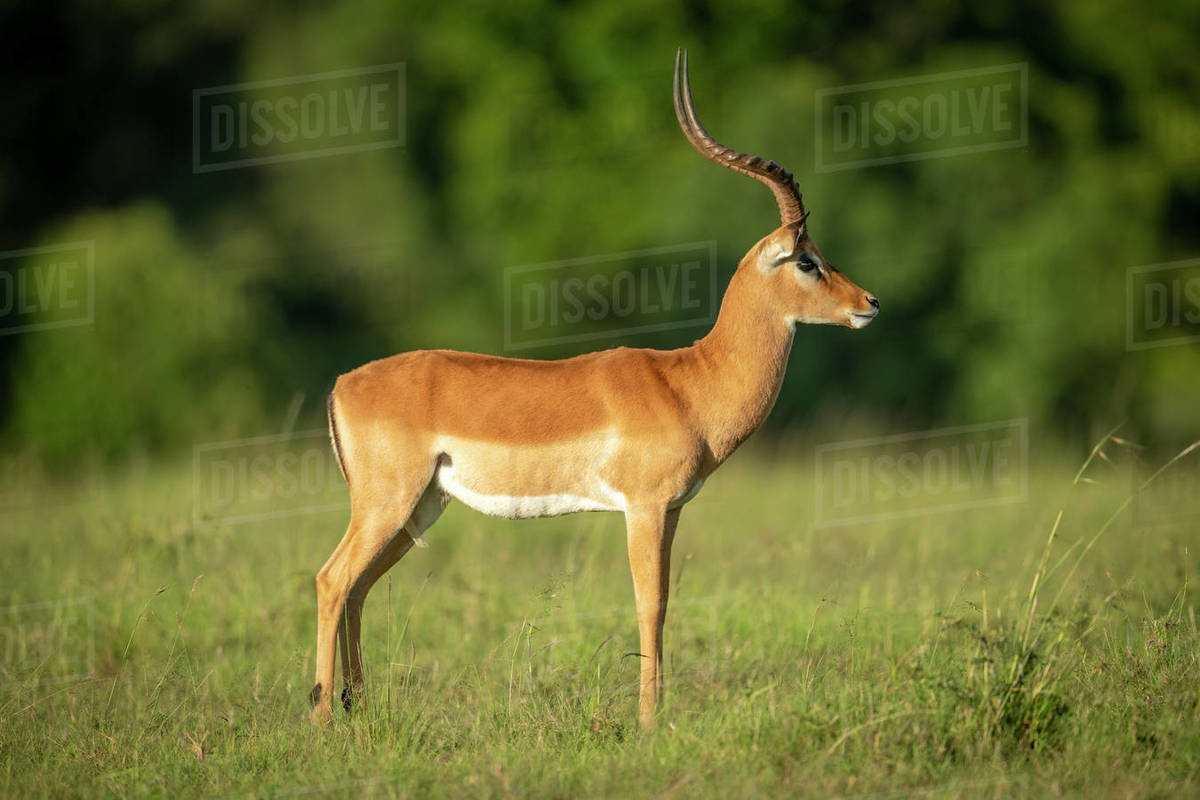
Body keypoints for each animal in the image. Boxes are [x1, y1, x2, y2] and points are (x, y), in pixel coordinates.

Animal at [310, 49, 879, 728]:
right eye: (807, 261)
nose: (870, 304)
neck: (690, 382)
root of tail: (341, 384)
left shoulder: (673, 510)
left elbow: (665, 604)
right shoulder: (644, 507)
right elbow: (649, 606)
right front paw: (649, 724)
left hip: (418, 508)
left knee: (358, 588)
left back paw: (356, 709)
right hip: (387, 503)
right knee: (332, 581)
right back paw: (321, 718)